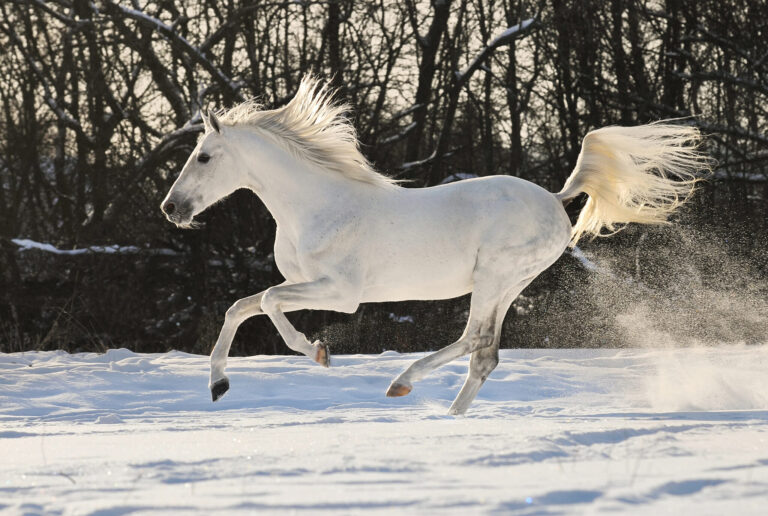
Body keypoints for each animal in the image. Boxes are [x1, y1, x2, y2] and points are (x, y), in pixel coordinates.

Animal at [161, 77, 707, 415]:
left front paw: (318, 354)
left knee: (474, 341)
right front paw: (218, 386)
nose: (171, 209)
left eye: (204, 156)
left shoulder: (340, 292)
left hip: (494, 277)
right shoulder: (303, 283)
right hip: (508, 285)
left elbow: (270, 303)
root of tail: (555, 197)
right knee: (484, 353)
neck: (316, 205)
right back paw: (446, 414)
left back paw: (404, 385)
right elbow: (240, 307)